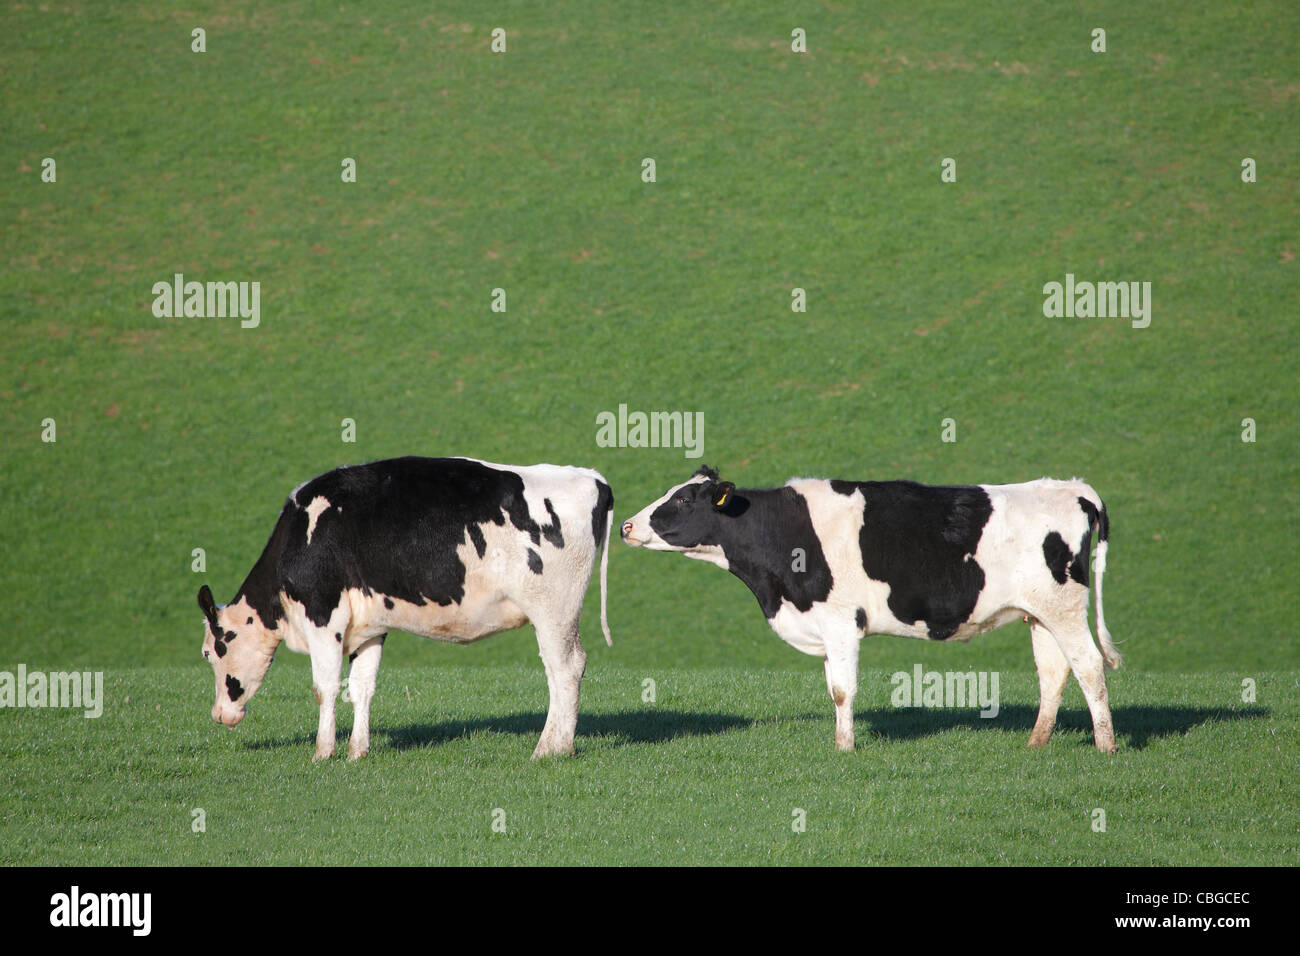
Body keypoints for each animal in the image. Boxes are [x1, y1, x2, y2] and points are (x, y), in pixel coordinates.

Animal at [198, 456, 613, 760]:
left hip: (553, 611)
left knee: (565, 669)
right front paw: (357, 752)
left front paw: (322, 753)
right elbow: (361, 687)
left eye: (209, 652)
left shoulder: (323, 615)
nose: (219, 714)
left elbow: (325, 687)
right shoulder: (369, 627)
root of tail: (590, 477)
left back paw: (551, 749)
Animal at [621, 467, 1121, 752]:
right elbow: (832, 689)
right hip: (1040, 612)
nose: (626, 525)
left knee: (1090, 666)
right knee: (1055, 671)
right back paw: (1035, 744)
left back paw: (1106, 747)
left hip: (1064, 608)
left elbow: (843, 691)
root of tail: (1073, 489)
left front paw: (844, 750)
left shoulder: (841, 621)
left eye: (683, 499)